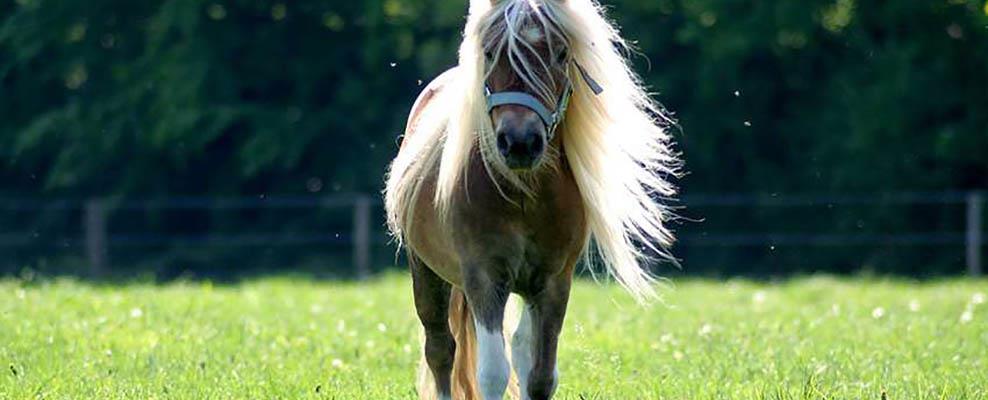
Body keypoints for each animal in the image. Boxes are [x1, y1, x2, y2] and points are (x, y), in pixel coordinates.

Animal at [384, 1, 679, 399]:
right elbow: (492, 372)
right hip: (427, 271)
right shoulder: (485, 277)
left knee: (520, 346)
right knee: (441, 348)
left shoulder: (553, 282)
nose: (520, 142)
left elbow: (539, 375)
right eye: (490, 52)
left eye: (562, 53)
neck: (524, 194)